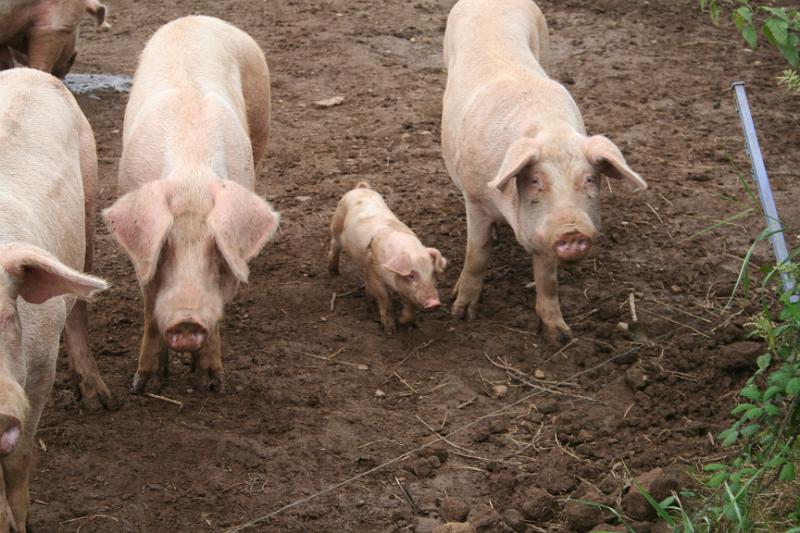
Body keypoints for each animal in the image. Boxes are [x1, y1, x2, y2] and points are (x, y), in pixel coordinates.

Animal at [103, 16, 279, 394]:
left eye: (217, 254)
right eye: (164, 249)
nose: (186, 322)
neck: (192, 175)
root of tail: (196, 18)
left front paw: (212, 385)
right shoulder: (141, 255)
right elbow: (149, 309)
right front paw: (143, 385)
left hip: (261, 116)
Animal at [328, 182, 447, 334]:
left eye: (432, 274)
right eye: (411, 275)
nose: (435, 303)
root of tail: (360, 188)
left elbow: (410, 306)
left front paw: (403, 322)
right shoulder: (376, 274)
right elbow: (385, 298)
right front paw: (390, 330)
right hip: (336, 228)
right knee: (334, 248)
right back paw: (334, 273)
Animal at [441, 0, 647, 344]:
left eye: (589, 179)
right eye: (536, 180)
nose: (571, 231)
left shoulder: (543, 232)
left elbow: (547, 279)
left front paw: (560, 336)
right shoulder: (475, 198)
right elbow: (477, 253)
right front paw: (460, 313)